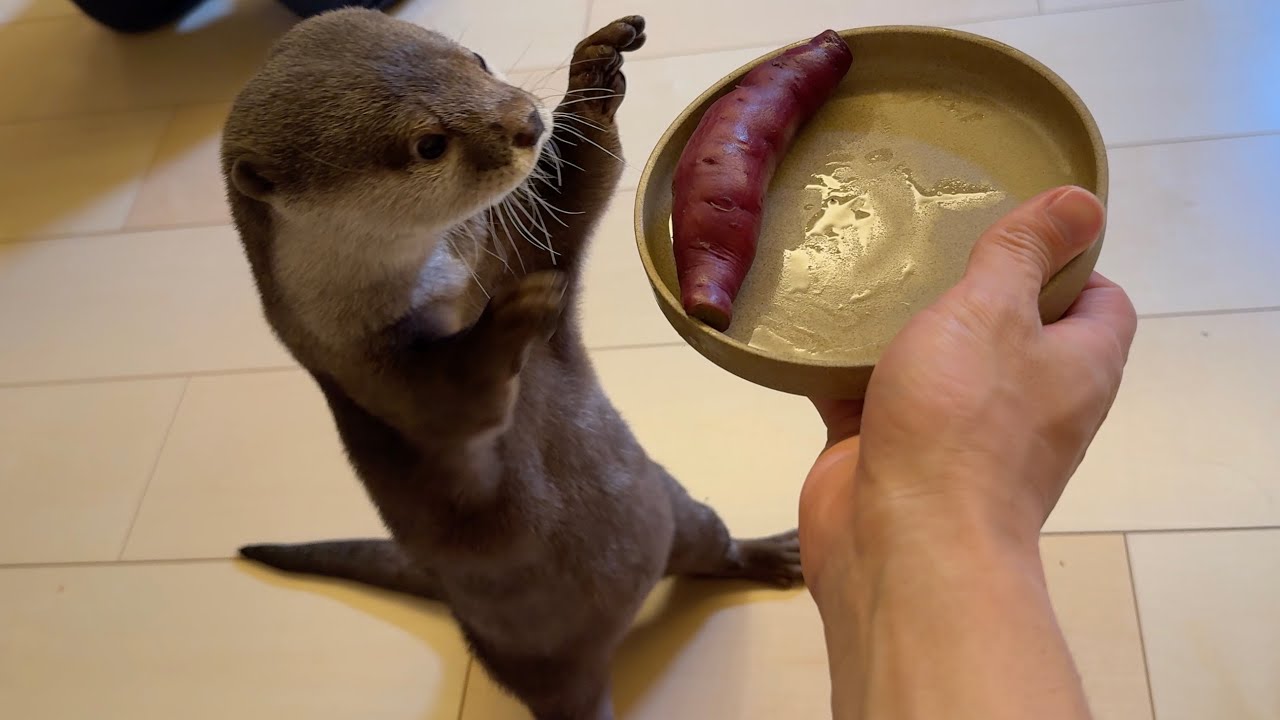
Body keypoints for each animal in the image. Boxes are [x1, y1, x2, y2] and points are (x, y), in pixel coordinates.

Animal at [221, 10, 802, 720]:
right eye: (430, 145)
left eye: (476, 61)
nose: (526, 119)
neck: (445, 286)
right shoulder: (372, 377)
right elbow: (456, 402)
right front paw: (515, 312)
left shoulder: (504, 243)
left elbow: (575, 194)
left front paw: (596, 64)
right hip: (537, 666)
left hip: (674, 505)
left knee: (710, 547)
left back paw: (771, 553)